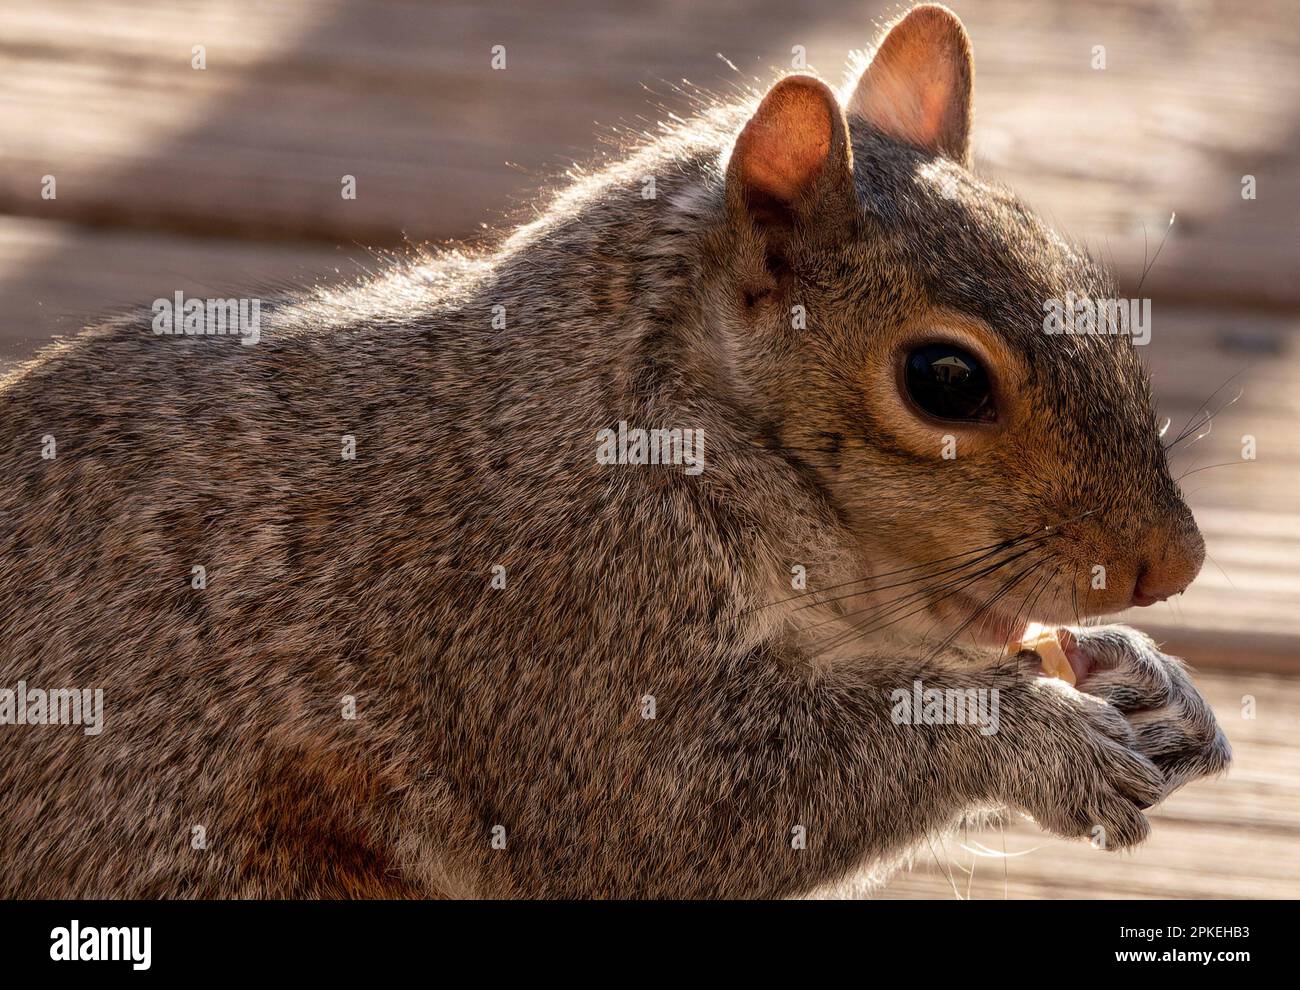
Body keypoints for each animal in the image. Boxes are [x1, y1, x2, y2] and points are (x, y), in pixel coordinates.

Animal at [0, 4, 1229, 898]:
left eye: (1088, 280)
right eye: (945, 380)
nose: (1172, 565)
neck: (652, 423)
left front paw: (1146, 677)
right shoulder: (546, 606)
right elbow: (673, 814)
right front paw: (1040, 740)